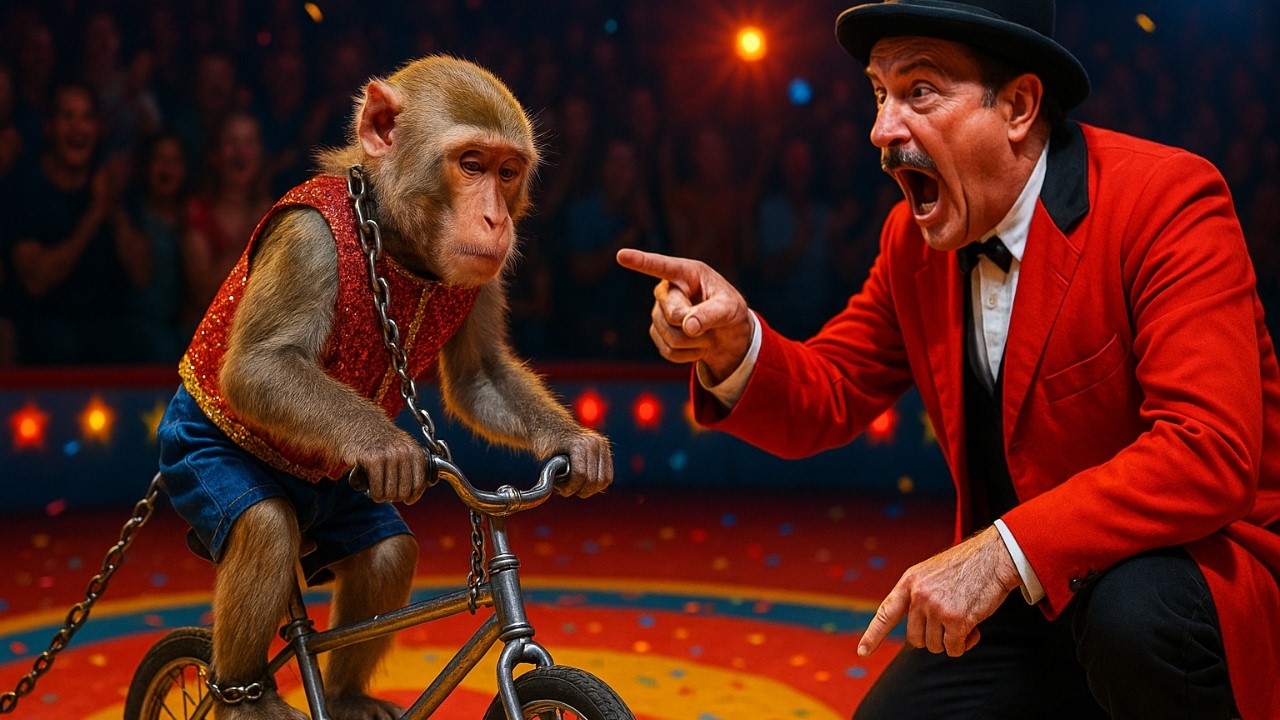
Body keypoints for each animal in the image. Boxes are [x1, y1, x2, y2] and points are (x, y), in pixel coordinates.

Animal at [156, 56, 613, 720]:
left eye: (507, 172)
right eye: (470, 164)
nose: (496, 219)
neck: (395, 246)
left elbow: (480, 375)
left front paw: (576, 447)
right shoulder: (308, 240)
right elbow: (261, 365)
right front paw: (391, 453)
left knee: (387, 552)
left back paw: (346, 696)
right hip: (191, 458)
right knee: (265, 529)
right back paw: (246, 699)